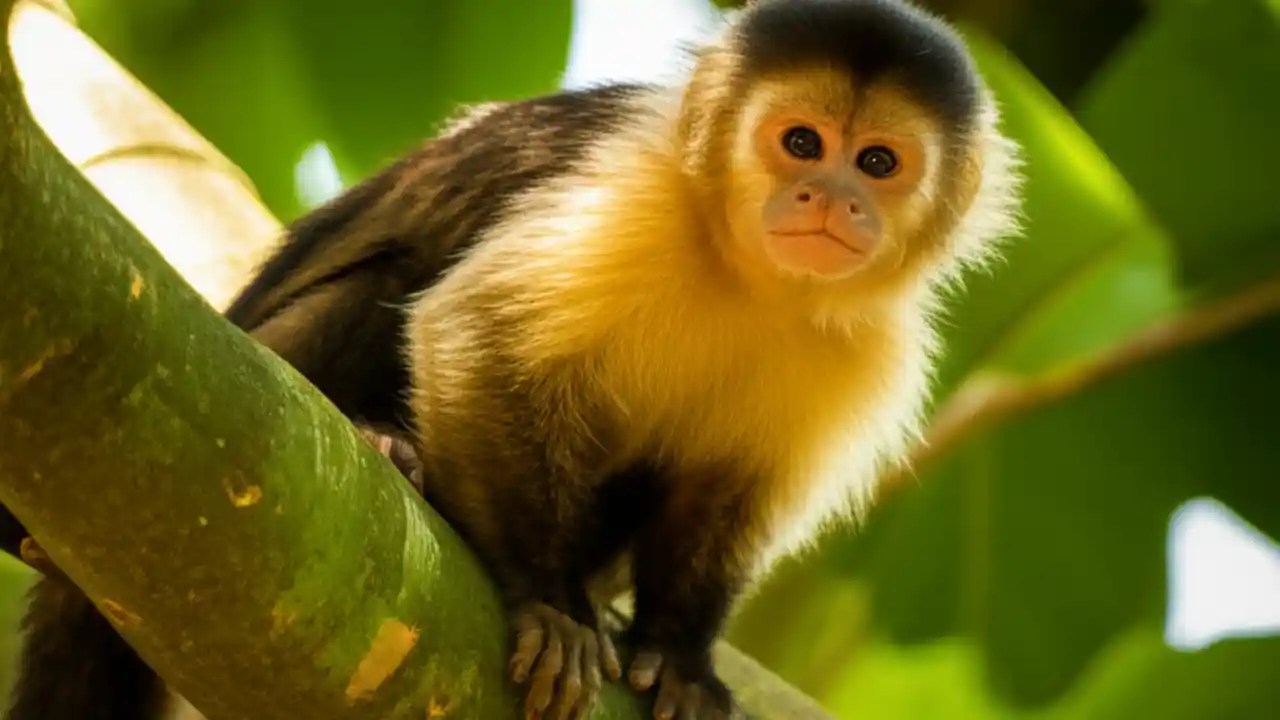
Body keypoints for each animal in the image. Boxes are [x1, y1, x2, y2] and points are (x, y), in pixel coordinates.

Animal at [0, 1, 1022, 718]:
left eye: (878, 162)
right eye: (801, 143)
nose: (827, 196)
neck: (744, 276)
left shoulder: (872, 346)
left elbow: (727, 497)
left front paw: (680, 654)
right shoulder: (630, 196)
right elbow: (471, 337)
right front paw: (551, 604)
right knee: (393, 278)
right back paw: (391, 449)